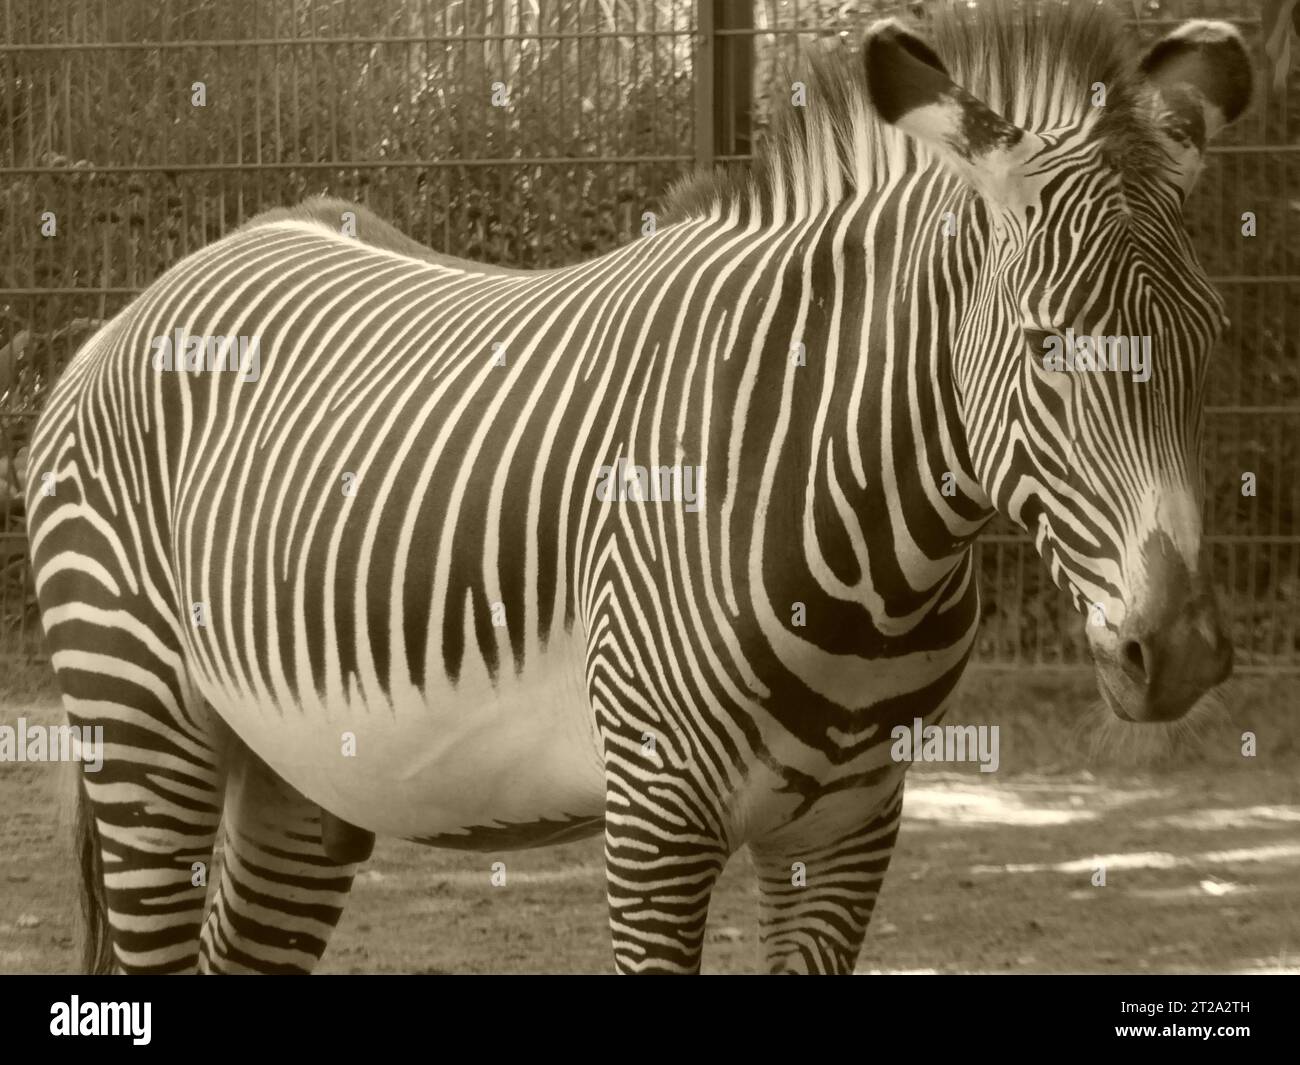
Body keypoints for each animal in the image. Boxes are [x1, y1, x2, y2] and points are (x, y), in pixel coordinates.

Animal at [25, 0, 1249, 974]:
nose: (1179, 651)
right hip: (140, 721)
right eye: (1046, 347)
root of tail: (161, 287)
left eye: (1210, 343)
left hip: (294, 773)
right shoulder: (658, 817)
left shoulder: (851, 829)